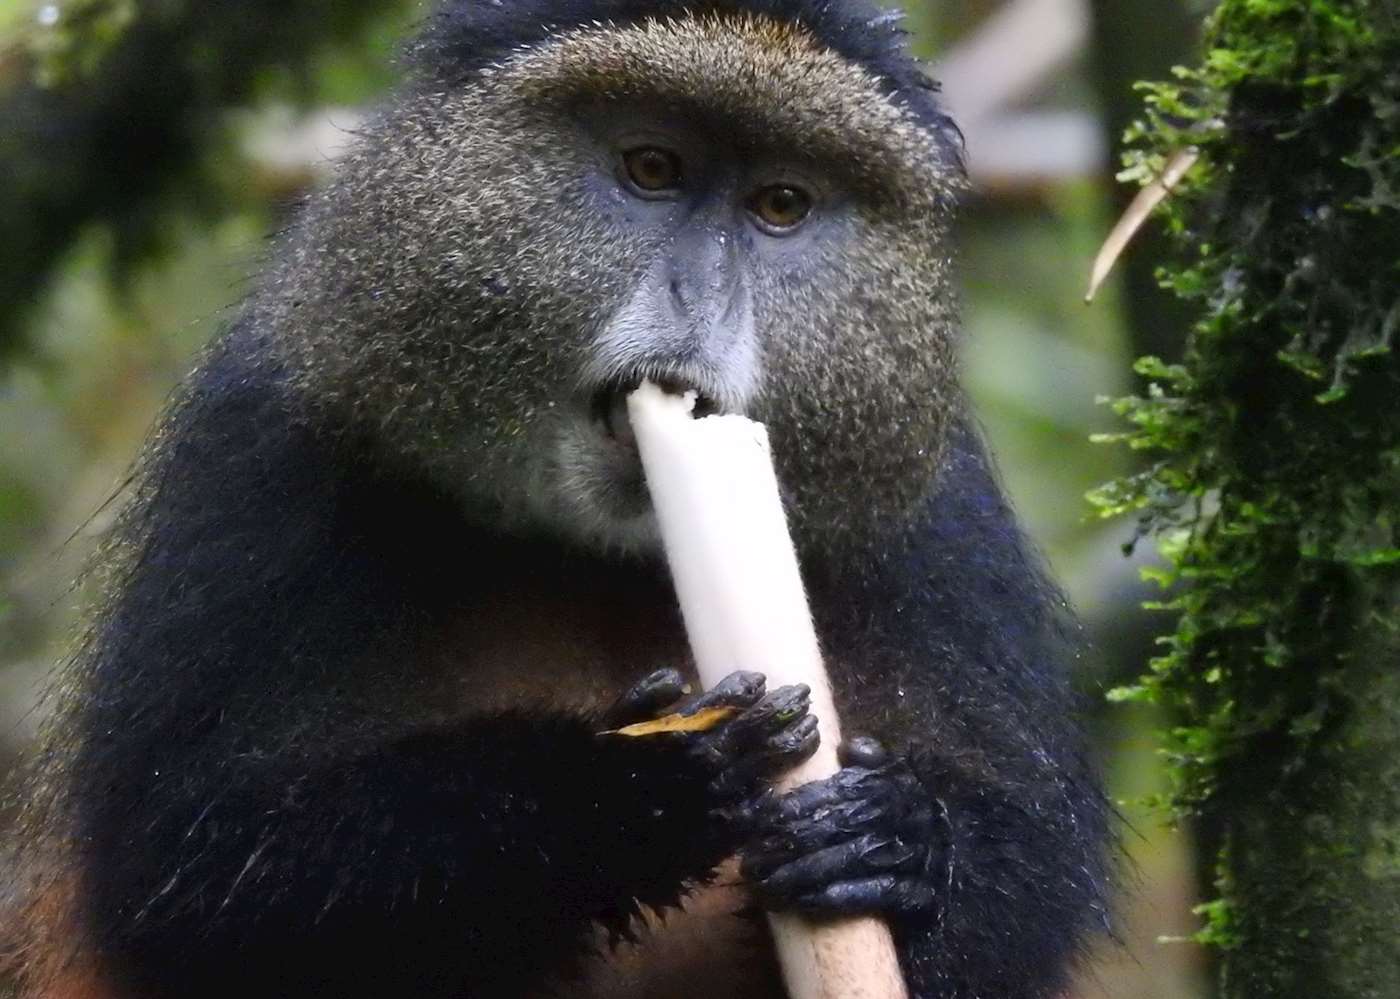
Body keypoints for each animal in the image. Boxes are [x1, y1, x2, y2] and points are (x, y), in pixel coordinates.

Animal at [3, 1, 1111, 997]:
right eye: (652, 170)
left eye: (781, 206)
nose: (697, 297)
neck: (598, 550)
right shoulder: (263, 448)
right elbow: (190, 882)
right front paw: (624, 795)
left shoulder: (943, 514)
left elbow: (1020, 913)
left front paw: (890, 843)